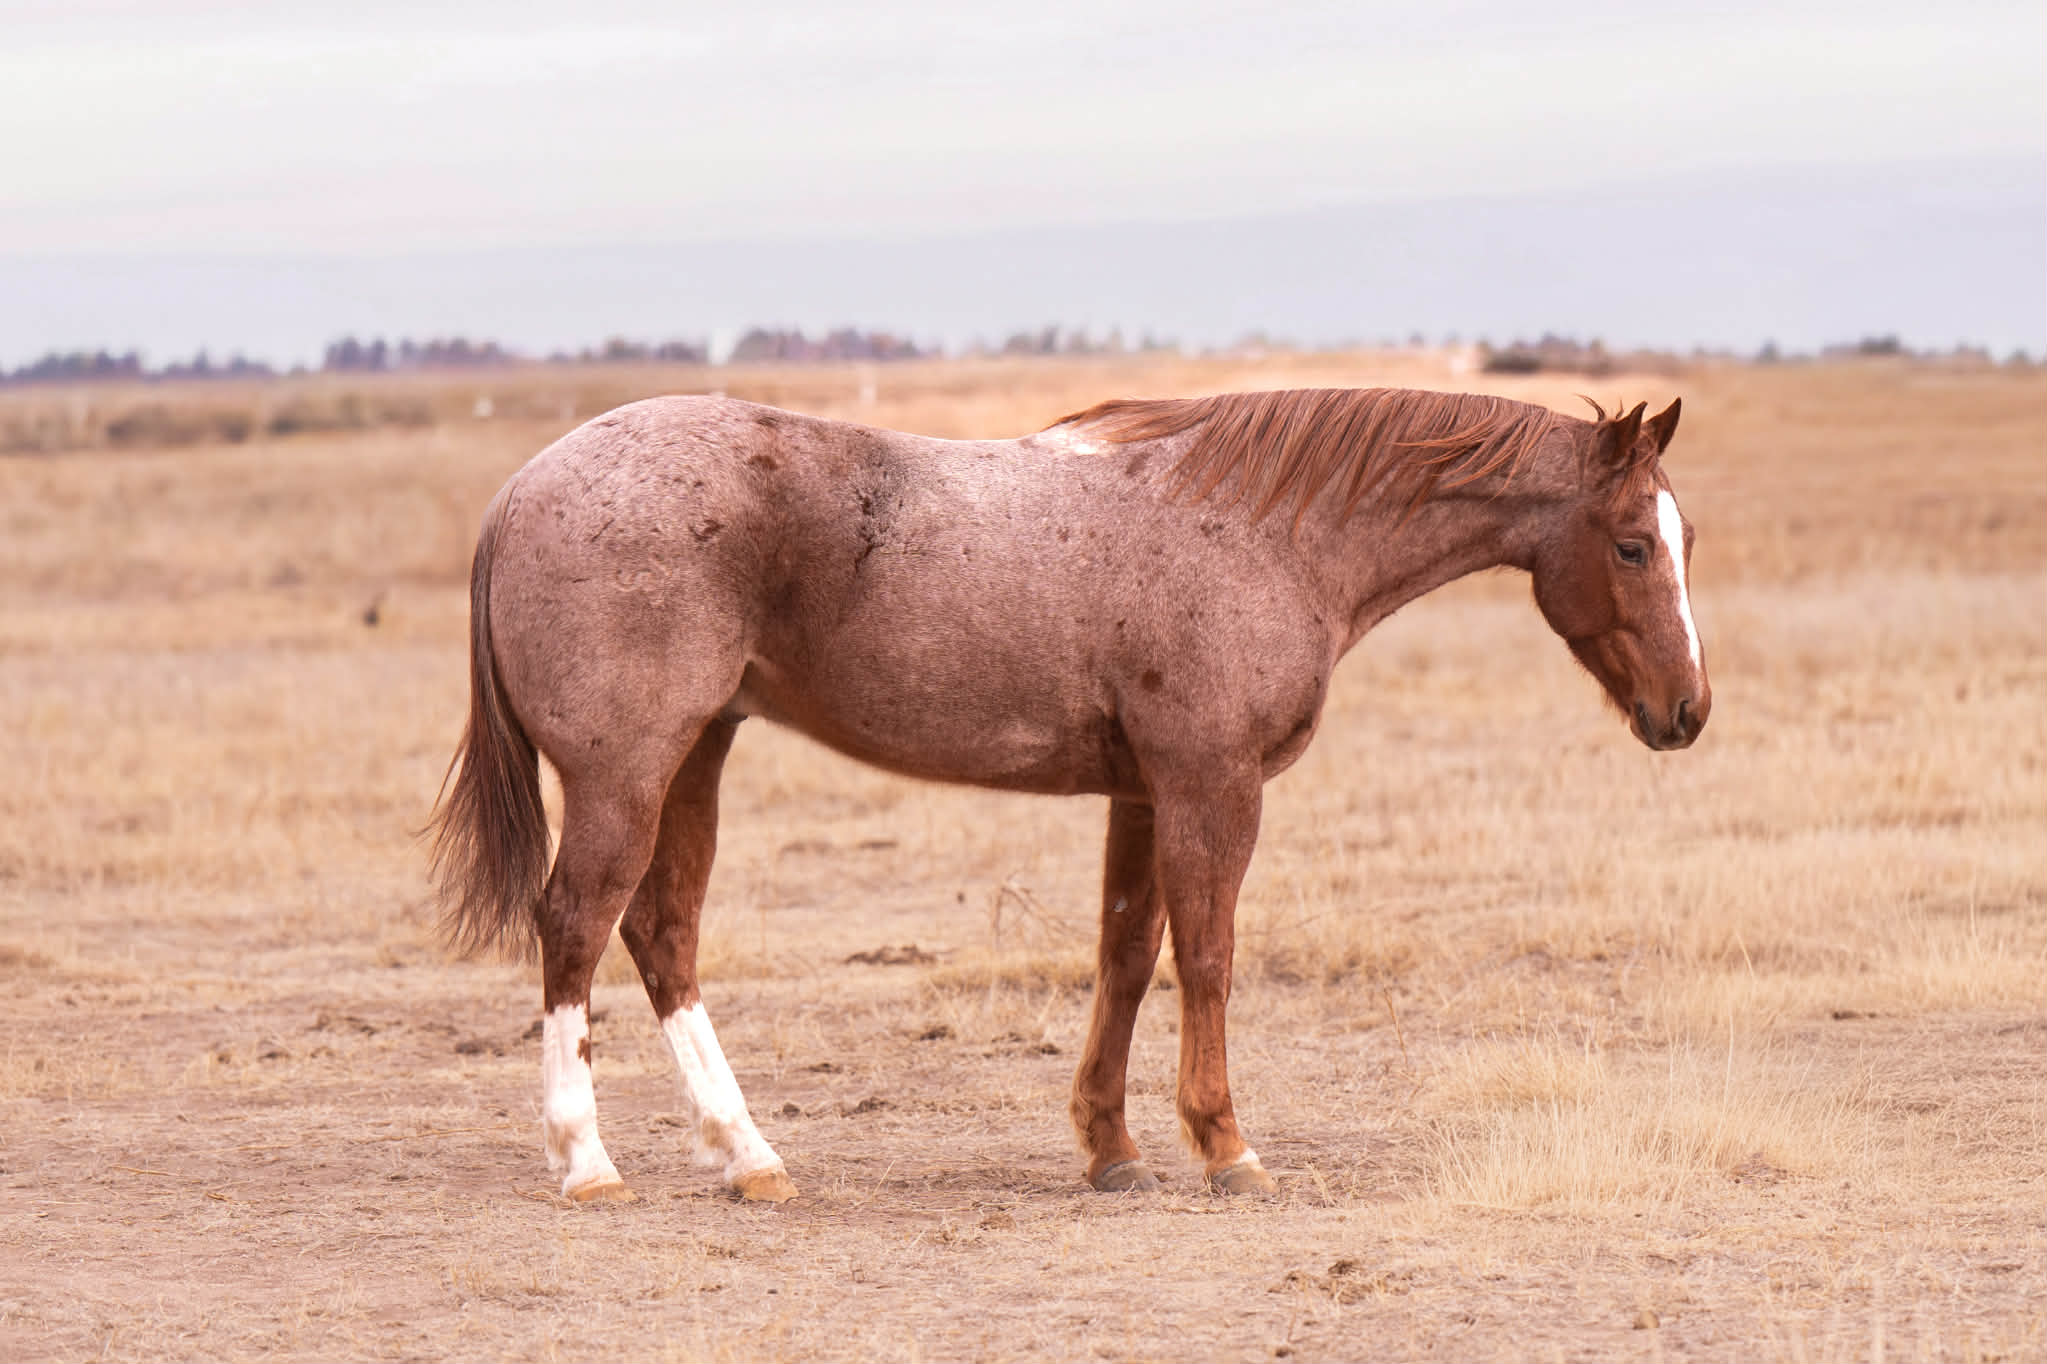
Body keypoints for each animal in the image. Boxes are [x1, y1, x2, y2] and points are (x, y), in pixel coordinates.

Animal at [428, 385, 1708, 1203]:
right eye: (1632, 544)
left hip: (694, 758)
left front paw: (1112, 1146)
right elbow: (1207, 956)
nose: (1689, 711)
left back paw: (749, 1157)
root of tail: (521, 489)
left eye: (1679, 537)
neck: (1262, 530)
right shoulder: (1210, 786)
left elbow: (1125, 952)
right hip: (628, 774)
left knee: (663, 931)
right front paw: (1226, 1146)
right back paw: (587, 1161)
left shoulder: (1142, 794)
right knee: (577, 924)